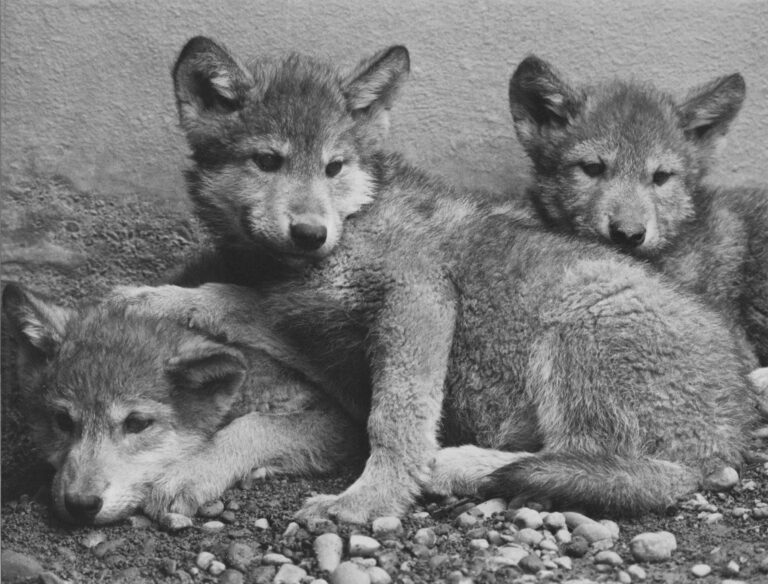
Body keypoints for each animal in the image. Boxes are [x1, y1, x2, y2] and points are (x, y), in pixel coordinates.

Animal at [1, 282, 365, 524]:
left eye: (136, 424)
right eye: (63, 421)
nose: (80, 503)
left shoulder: (337, 420)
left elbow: (250, 426)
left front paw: (188, 475)